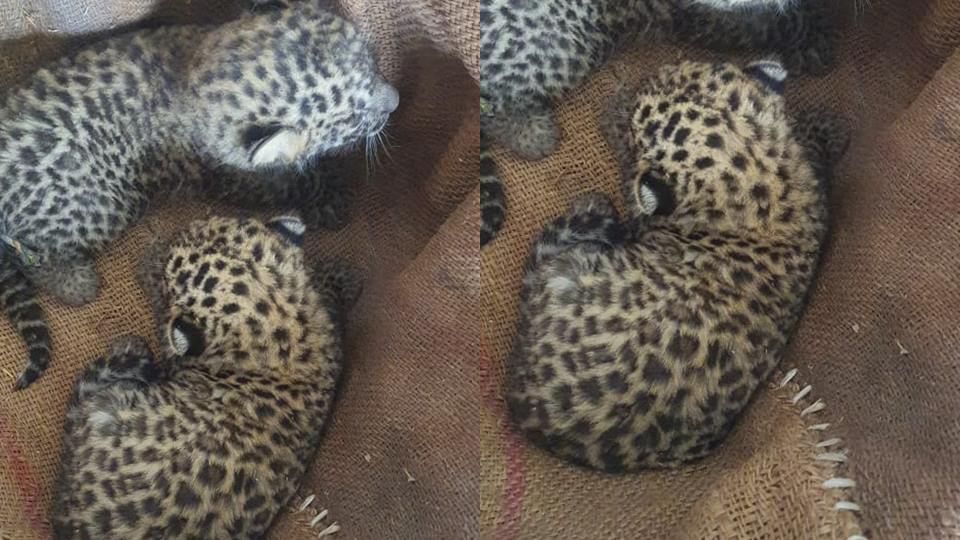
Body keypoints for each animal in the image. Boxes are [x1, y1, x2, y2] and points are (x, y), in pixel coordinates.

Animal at [0, 0, 398, 390]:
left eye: (371, 62)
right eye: (353, 119)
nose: (394, 101)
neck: (194, 71)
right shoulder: (234, 177)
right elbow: (288, 182)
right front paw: (329, 198)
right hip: (96, 206)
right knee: (31, 255)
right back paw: (77, 282)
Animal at [50, 213, 362, 539]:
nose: (173, 235)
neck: (285, 329)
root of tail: (71, 526)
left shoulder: (175, 352)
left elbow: (165, 319)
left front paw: (151, 261)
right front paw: (343, 277)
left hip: (106, 407)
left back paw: (131, 351)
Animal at [479, 0, 837, 248]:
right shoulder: (708, 18)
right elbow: (774, 25)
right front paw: (815, 43)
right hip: (559, 42)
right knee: (494, 107)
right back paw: (535, 133)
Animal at [505, 59, 850, 472]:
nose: (642, 79)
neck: (764, 189)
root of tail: (528, 412)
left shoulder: (643, 212)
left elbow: (630, 175)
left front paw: (615, 111)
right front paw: (827, 127)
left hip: (567, 269)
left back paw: (593, 209)